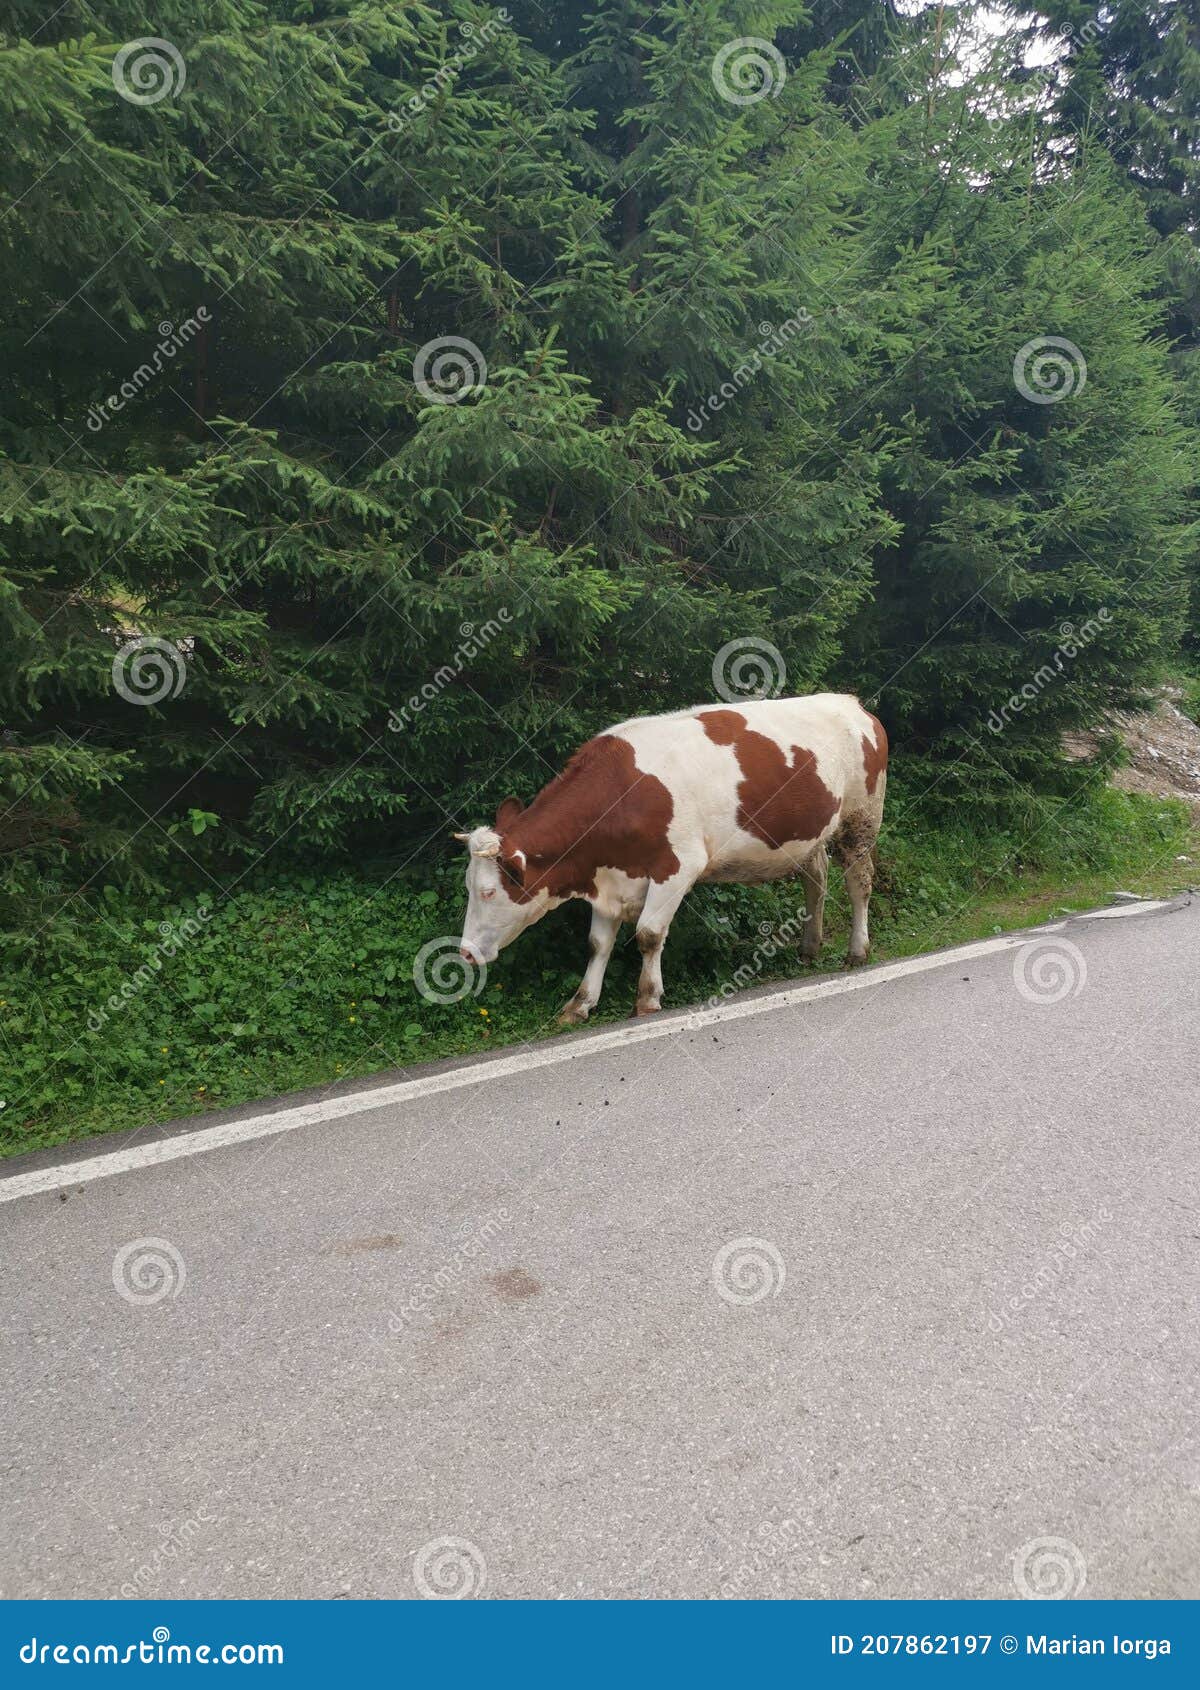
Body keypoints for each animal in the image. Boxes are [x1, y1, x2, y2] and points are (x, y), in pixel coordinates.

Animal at [455, 693, 888, 1023]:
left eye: (489, 892)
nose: (465, 952)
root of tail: (851, 703)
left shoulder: (677, 867)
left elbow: (648, 934)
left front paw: (647, 998)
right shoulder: (607, 878)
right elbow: (597, 944)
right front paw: (579, 1004)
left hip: (860, 819)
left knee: (859, 884)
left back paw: (857, 950)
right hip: (810, 837)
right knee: (816, 879)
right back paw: (808, 948)